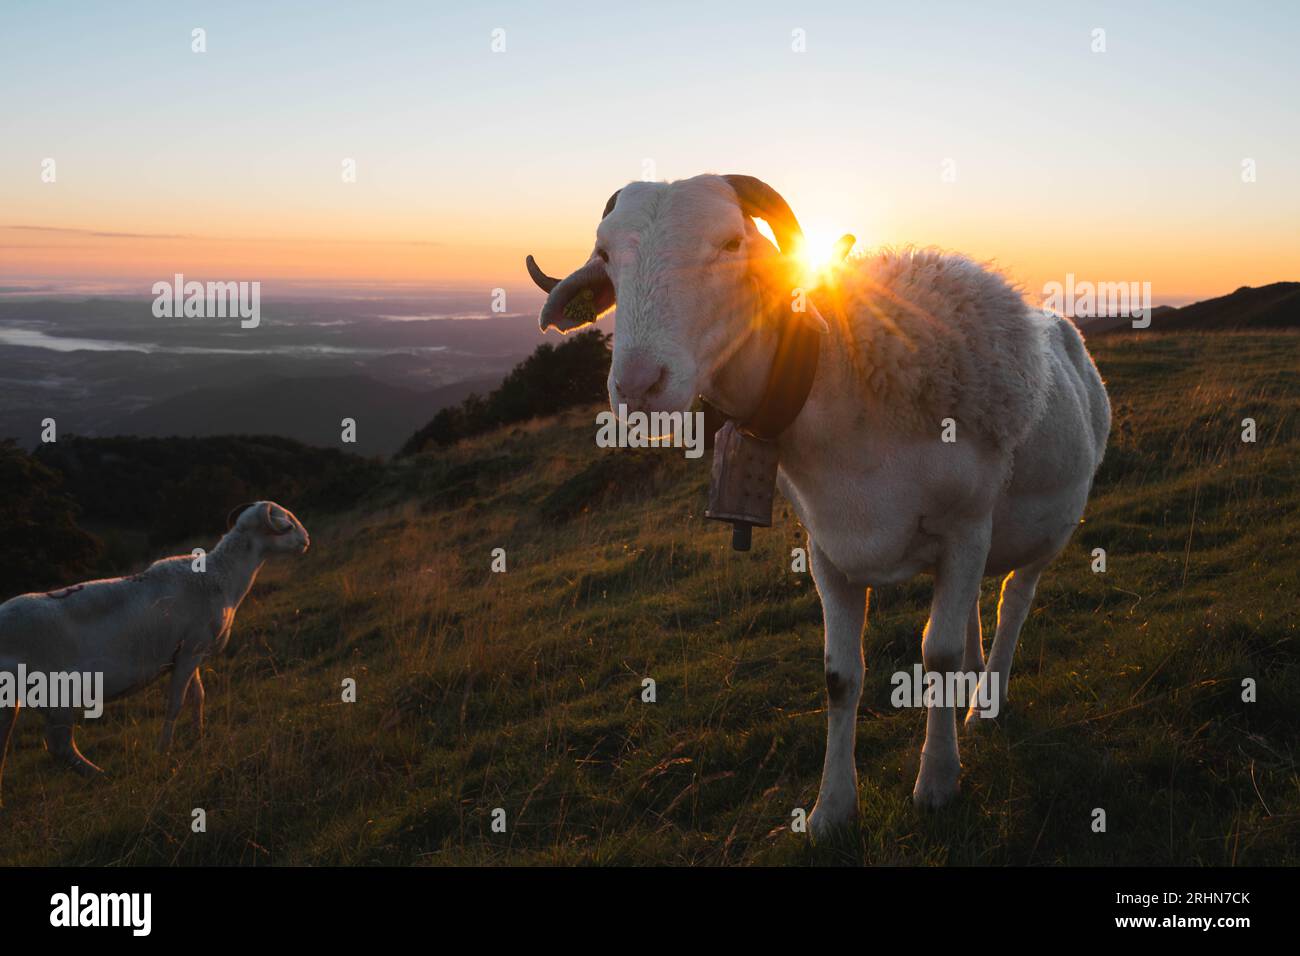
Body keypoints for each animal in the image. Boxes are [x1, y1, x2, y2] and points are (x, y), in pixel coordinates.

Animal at [0, 501, 309, 800]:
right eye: (288, 521)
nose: (307, 540)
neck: (222, 575)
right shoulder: (191, 649)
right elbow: (175, 704)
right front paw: (164, 752)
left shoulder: (190, 653)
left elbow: (198, 696)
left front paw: (198, 738)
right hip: (56, 695)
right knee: (60, 747)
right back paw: (103, 777)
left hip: (12, 701)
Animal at [527, 174, 1110, 836]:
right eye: (605, 257)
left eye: (731, 244)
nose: (637, 386)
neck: (842, 384)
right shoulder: (828, 548)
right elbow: (840, 676)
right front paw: (831, 809)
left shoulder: (965, 528)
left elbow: (935, 655)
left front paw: (936, 783)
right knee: (970, 617)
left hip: (1040, 534)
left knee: (1013, 602)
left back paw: (987, 703)